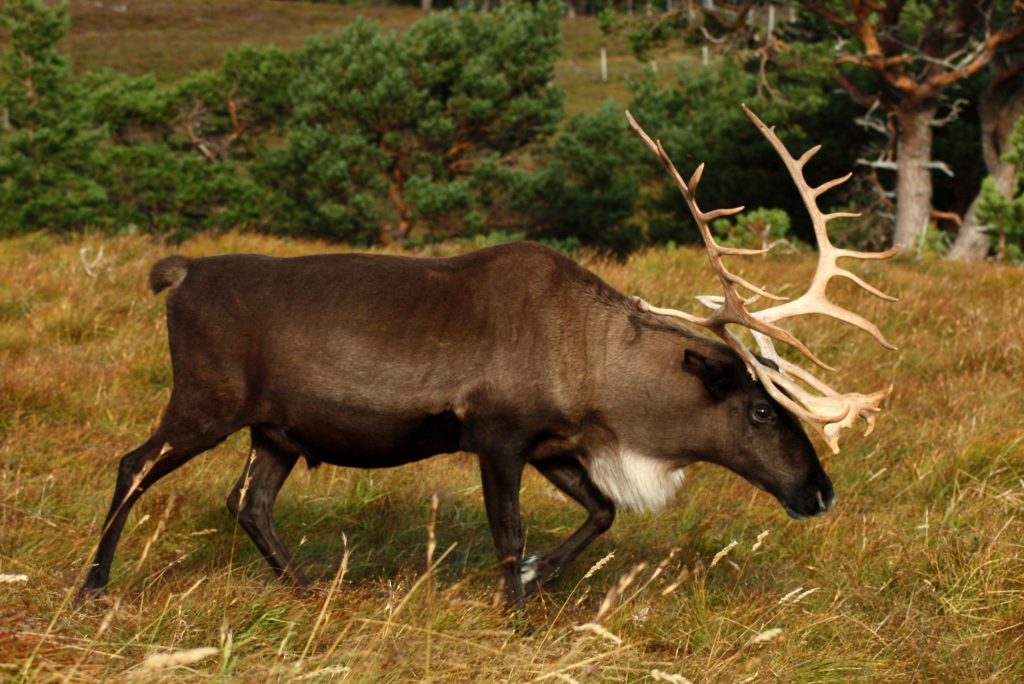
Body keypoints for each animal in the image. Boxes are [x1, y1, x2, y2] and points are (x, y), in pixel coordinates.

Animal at [79, 106, 897, 611]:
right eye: (760, 408)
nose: (820, 492)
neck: (600, 377)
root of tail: (181, 273)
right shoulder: (497, 435)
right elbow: (509, 536)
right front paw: (518, 612)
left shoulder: (554, 443)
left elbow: (601, 512)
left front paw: (537, 583)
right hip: (205, 401)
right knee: (133, 465)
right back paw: (93, 587)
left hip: (276, 431)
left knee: (248, 503)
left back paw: (313, 591)